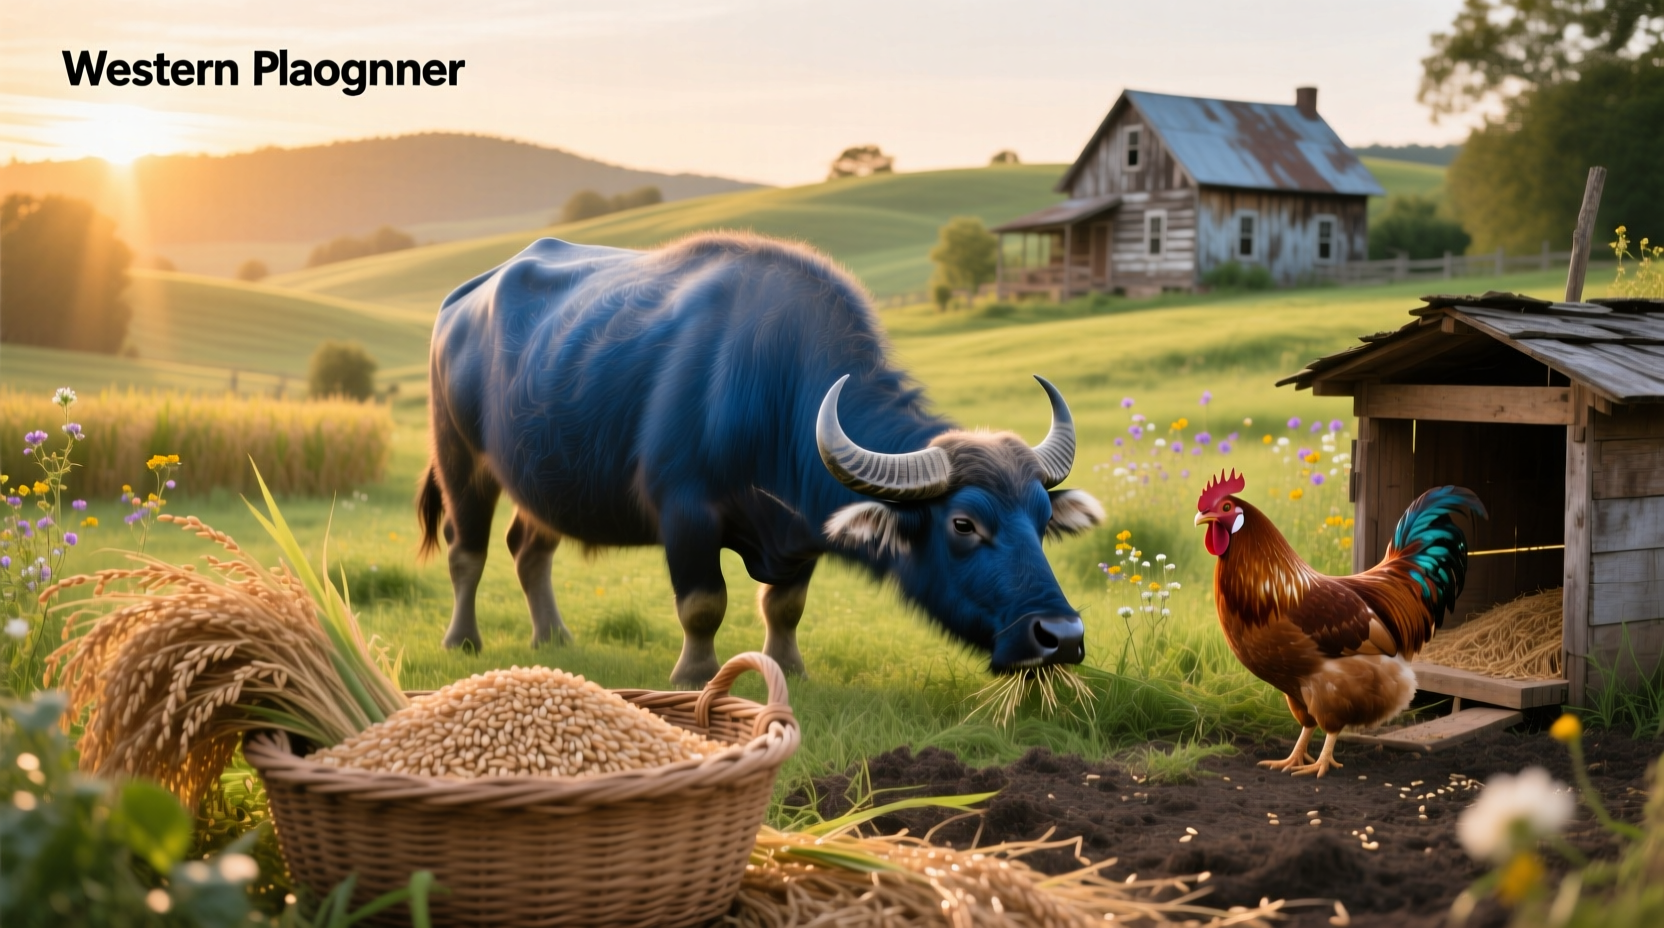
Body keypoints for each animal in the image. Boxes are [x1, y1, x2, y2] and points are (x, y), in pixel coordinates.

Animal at [418, 233, 1104, 685]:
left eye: (1043, 520)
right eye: (963, 523)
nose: (1061, 638)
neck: (774, 390)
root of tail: (461, 299)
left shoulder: (802, 528)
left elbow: (784, 606)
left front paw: (788, 667)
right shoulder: (686, 514)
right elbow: (703, 603)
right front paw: (695, 673)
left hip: (541, 477)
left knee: (528, 548)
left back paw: (553, 636)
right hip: (461, 458)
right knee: (466, 551)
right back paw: (463, 639)